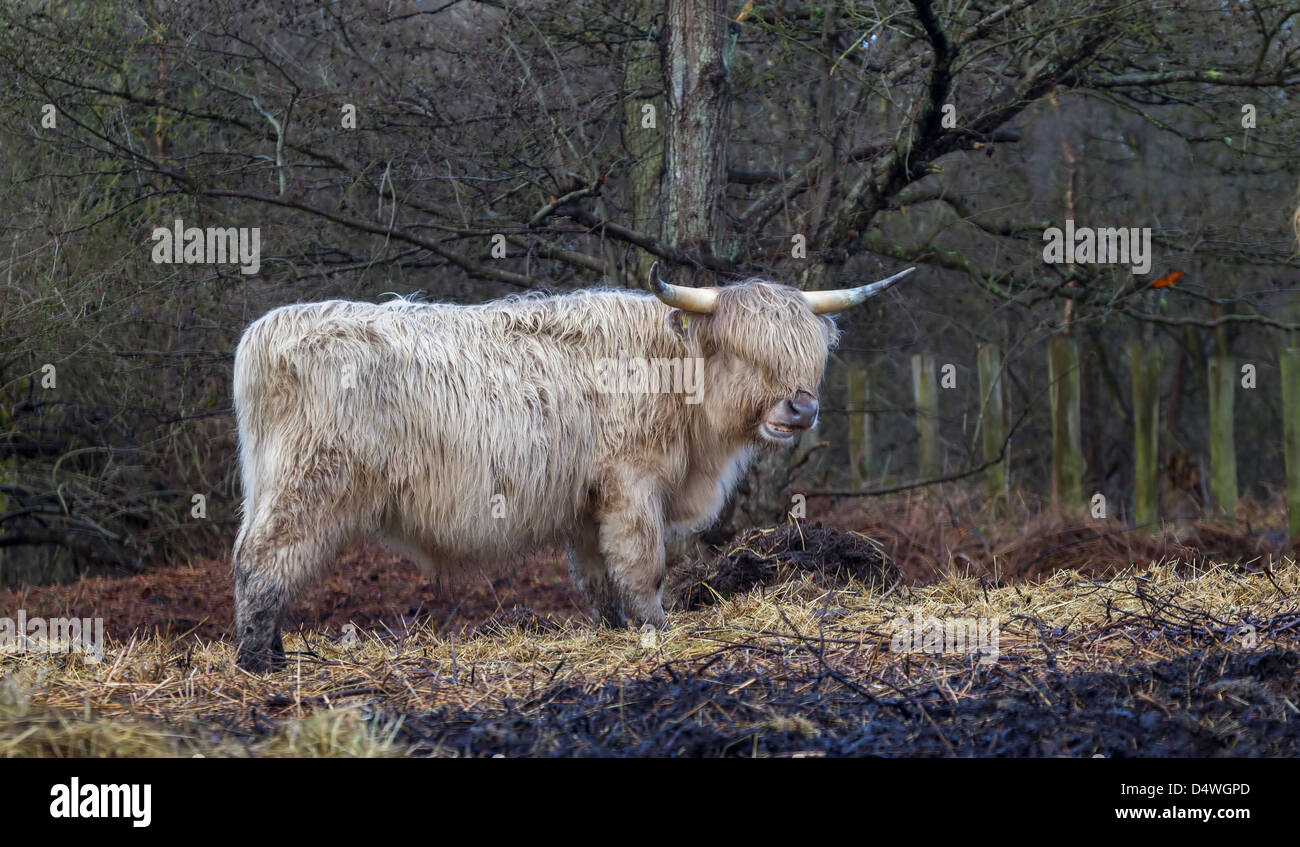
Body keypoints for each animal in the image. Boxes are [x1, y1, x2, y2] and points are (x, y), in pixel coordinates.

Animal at [230, 266, 914, 670]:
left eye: (809, 350)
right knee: (263, 561)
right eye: (744, 350)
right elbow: (643, 568)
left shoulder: (590, 504)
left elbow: (598, 579)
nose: (801, 408)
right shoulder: (633, 486)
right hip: (309, 484)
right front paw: (656, 632)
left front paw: (615, 631)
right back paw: (260, 661)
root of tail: (269, 329)